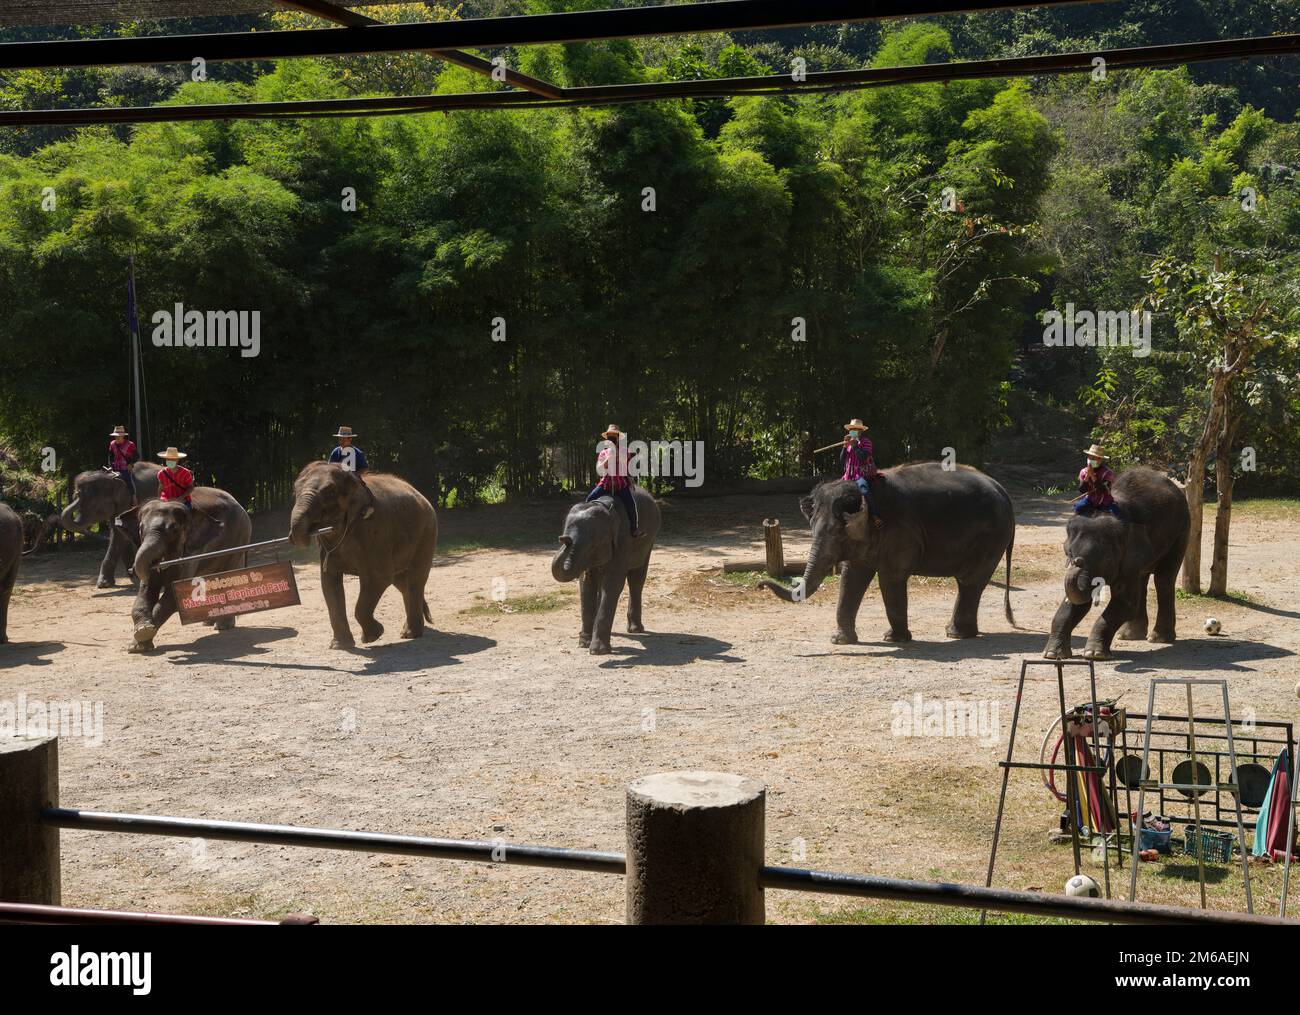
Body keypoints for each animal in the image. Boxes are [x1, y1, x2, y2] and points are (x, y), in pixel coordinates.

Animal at [123, 487, 253, 653]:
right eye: (140, 529)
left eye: (174, 530)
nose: (131, 570)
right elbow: (147, 590)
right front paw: (138, 642)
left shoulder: (190, 553)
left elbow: (174, 596)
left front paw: (141, 638)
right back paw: (208, 622)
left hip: (238, 538)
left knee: (226, 577)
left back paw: (222, 626)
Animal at [288, 461, 438, 649]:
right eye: (294, 492)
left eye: (331, 492)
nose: (292, 537)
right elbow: (329, 583)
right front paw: (340, 646)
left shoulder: (374, 533)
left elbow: (378, 579)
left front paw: (372, 636)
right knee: (402, 582)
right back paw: (408, 632)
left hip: (426, 533)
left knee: (414, 579)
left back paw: (411, 634)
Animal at [551, 485, 661, 655]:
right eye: (564, 530)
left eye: (592, 545)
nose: (563, 539)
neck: (603, 505)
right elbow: (586, 585)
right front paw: (583, 643)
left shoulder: (623, 540)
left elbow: (612, 585)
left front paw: (598, 651)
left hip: (649, 541)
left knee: (636, 579)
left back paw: (635, 630)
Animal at [759, 463, 1016, 642]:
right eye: (811, 528)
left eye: (838, 533)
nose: (760, 584)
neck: (865, 493)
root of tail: (1003, 490)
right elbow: (851, 578)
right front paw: (840, 641)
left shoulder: (901, 534)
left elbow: (890, 578)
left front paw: (894, 639)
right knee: (969, 582)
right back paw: (957, 633)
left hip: (991, 538)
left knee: (970, 580)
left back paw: (957, 634)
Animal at [1043, 467, 1190, 661]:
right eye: (1069, 553)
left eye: (1105, 558)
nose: (1077, 562)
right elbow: (1075, 601)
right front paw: (1053, 654)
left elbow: (1125, 602)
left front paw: (1094, 654)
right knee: (1142, 579)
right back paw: (1129, 636)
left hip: (1182, 530)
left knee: (1163, 579)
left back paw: (1158, 638)